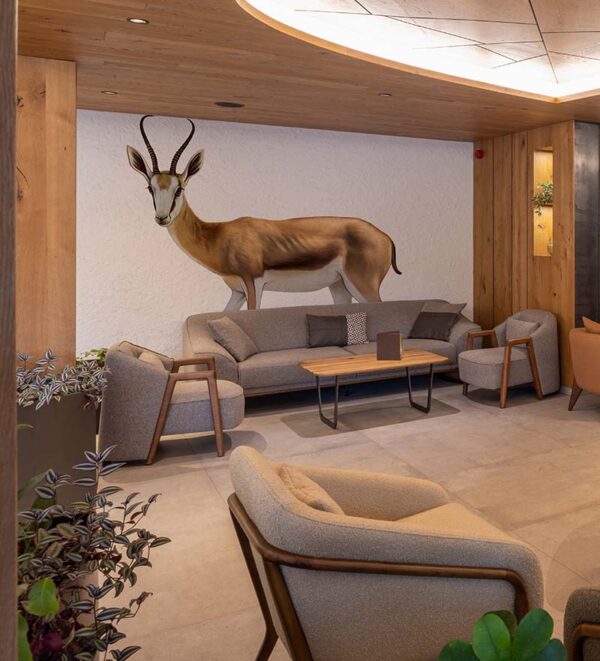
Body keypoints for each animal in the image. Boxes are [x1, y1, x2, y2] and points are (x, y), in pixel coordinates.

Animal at [127, 116, 402, 310]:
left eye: (179, 188)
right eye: (150, 187)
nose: (162, 218)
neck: (219, 236)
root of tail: (386, 237)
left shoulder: (253, 283)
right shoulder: (236, 291)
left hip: (363, 286)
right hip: (339, 287)